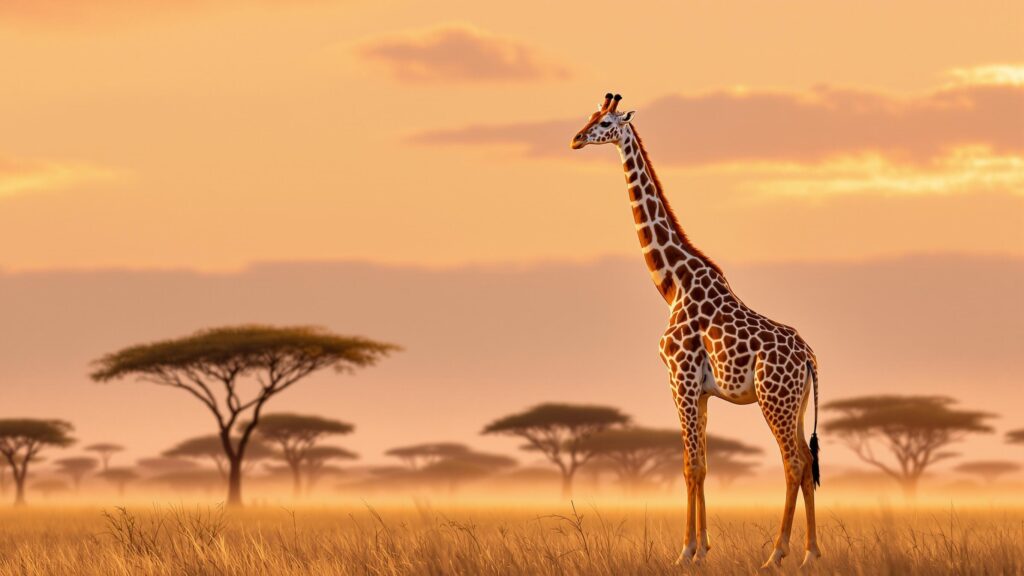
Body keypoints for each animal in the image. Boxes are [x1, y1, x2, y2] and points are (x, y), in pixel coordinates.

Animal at [571, 93, 822, 569]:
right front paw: (703, 548)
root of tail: (809, 359)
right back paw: (811, 553)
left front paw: (685, 551)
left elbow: (690, 466)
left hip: (774, 400)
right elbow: (703, 465)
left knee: (794, 463)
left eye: (606, 123)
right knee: (807, 462)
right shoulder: (702, 391)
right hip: (796, 405)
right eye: (590, 116)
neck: (673, 284)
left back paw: (777, 554)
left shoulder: (679, 378)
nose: (575, 138)